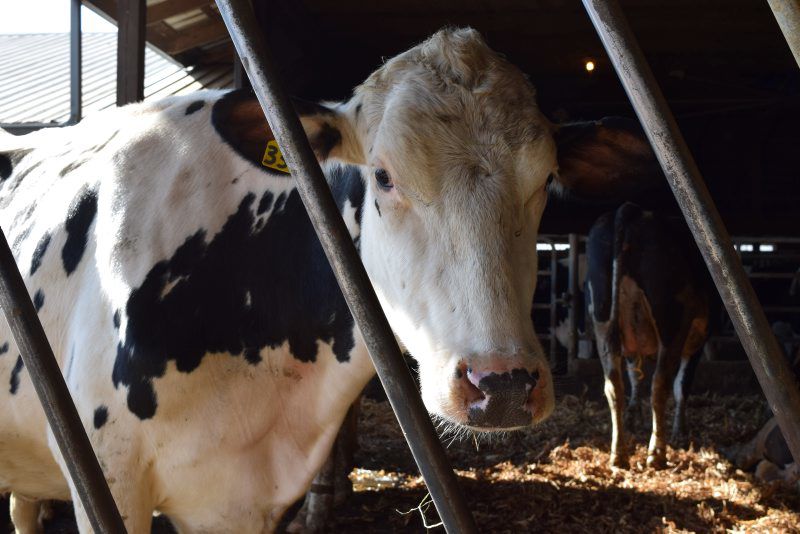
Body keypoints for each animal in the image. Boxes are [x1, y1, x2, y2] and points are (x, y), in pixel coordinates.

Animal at [586, 203, 710, 468]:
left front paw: (633, 416)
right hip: (671, 322)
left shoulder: (632, 348)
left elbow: (634, 377)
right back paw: (657, 453)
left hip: (603, 318)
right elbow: (682, 385)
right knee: (660, 384)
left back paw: (619, 454)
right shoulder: (698, 341)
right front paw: (680, 431)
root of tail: (630, 209)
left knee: (613, 385)